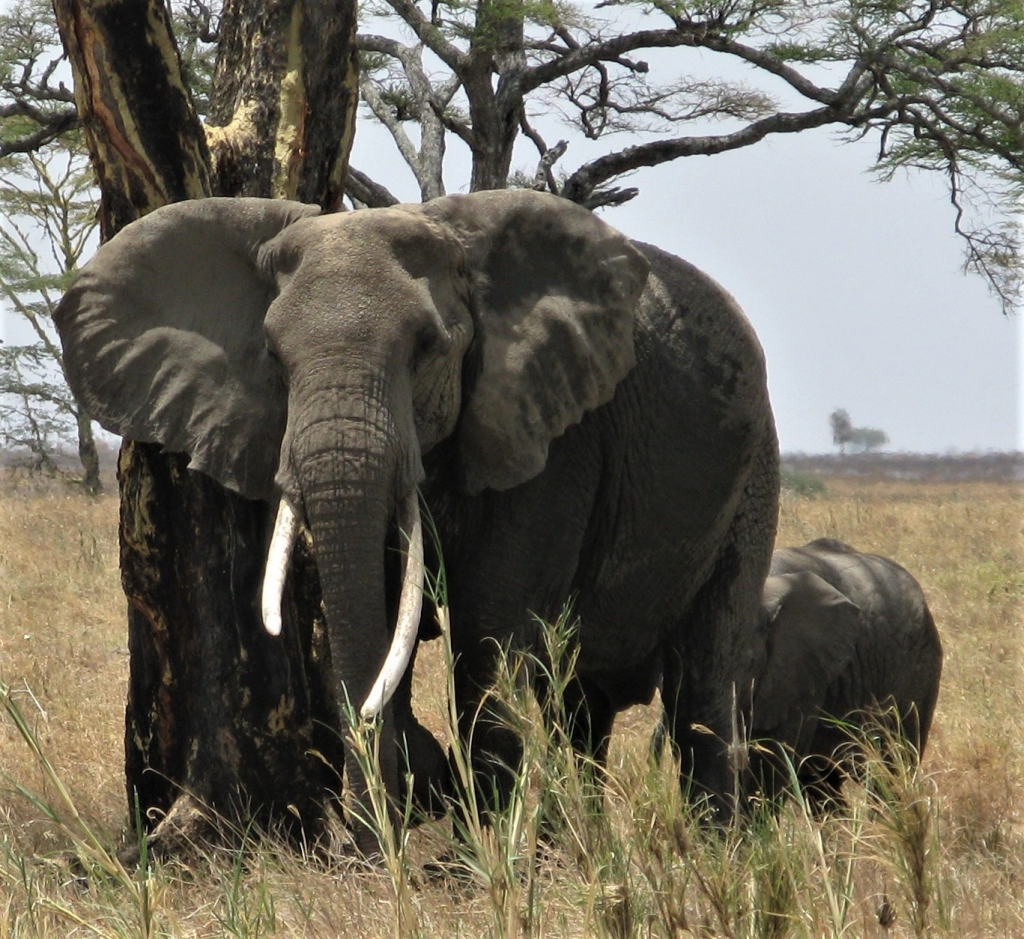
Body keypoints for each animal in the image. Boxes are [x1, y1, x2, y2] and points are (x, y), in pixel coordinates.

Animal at [54, 189, 779, 849]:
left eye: (426, 347)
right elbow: (381, 605)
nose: (362, 850)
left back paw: (717, 851)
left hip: (754, 472)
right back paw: (578, 845)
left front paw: (475, 861)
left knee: (704, 680)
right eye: (272, 355)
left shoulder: (550, 439)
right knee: (580, 706)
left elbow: (489, 628)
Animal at [746, 538, 943, 813]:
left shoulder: (798, 673)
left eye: (749, 663)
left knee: (892, 770)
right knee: (822, 788)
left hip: (918, 665)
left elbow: (769, 758)